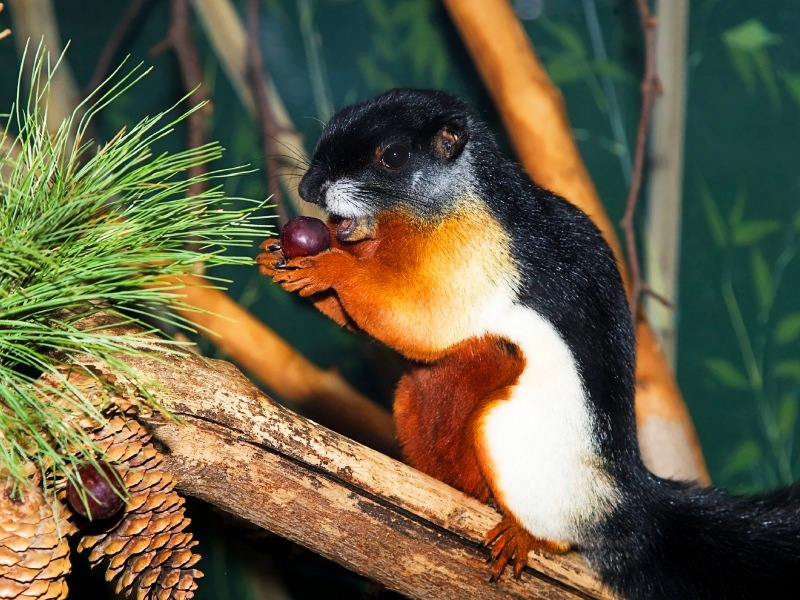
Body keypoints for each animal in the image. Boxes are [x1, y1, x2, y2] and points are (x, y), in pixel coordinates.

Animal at [256, 88, 800, 599]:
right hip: (416, 398)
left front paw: (330, 267)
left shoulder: (477, 255)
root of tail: (629, 505)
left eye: (392, 155)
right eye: (333, 124)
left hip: (512, 436)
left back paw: (523, 536)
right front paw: (277, 259)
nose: (306, 188)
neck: (418, 220)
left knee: (557, 531)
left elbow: (424, 320)